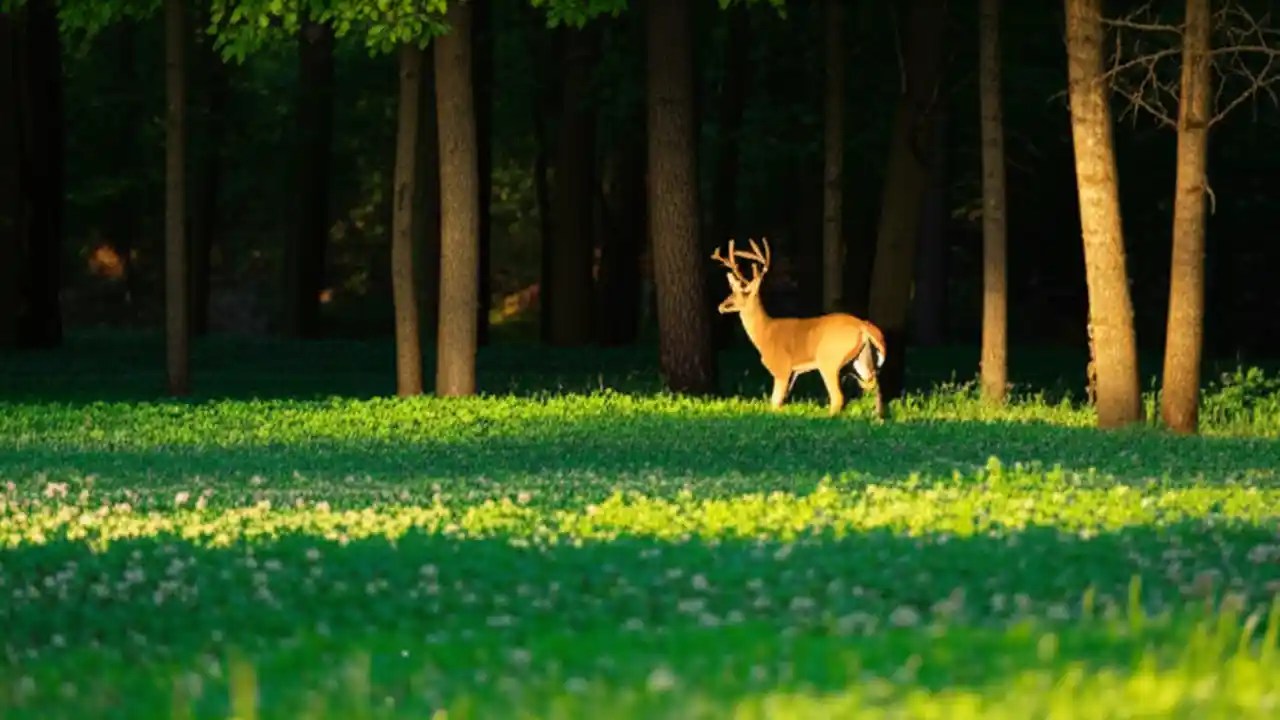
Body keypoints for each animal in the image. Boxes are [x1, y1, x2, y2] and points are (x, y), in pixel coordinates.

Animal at [711, 237, 887, 418]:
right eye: (732, 291)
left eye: (744, 292)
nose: (722, 306)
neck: (766, 332)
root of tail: (863, 327)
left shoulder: (782, 368)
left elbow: (775, 404)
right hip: (860, 359)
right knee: (874, 387)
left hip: (829, 360)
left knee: (838, 397)